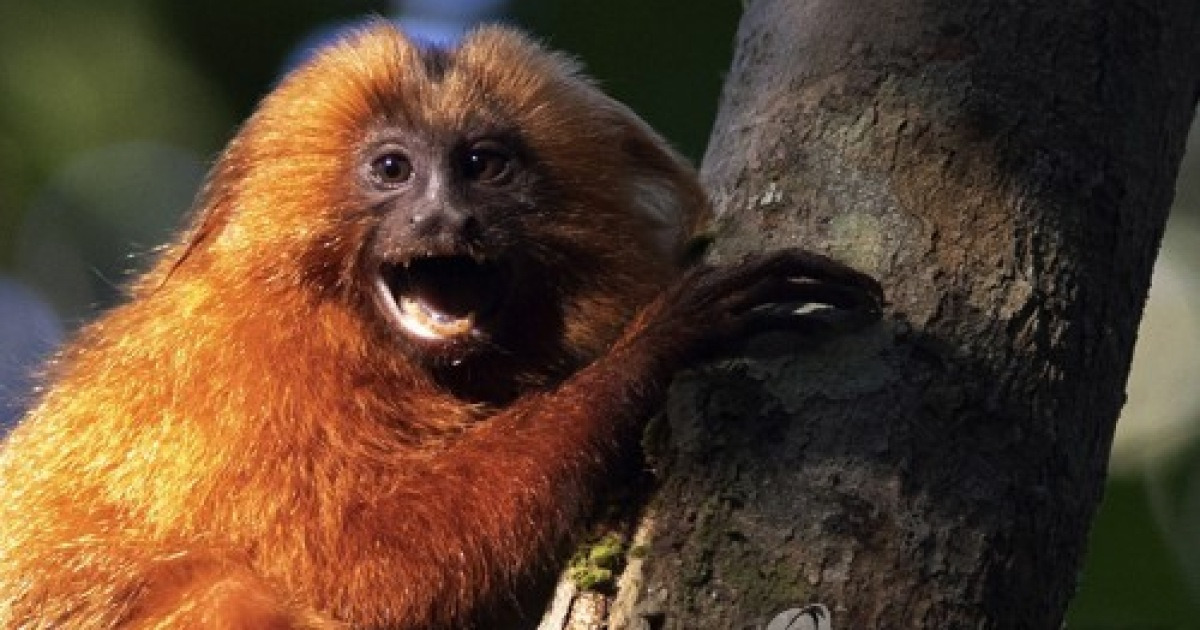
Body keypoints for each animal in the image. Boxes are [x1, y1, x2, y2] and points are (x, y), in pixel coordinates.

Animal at [0, 23, 882, 629]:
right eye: (393, 169)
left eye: (482, 164)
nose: (444, 217)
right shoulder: (243, 376)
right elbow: (349, 566)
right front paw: (654, 348)